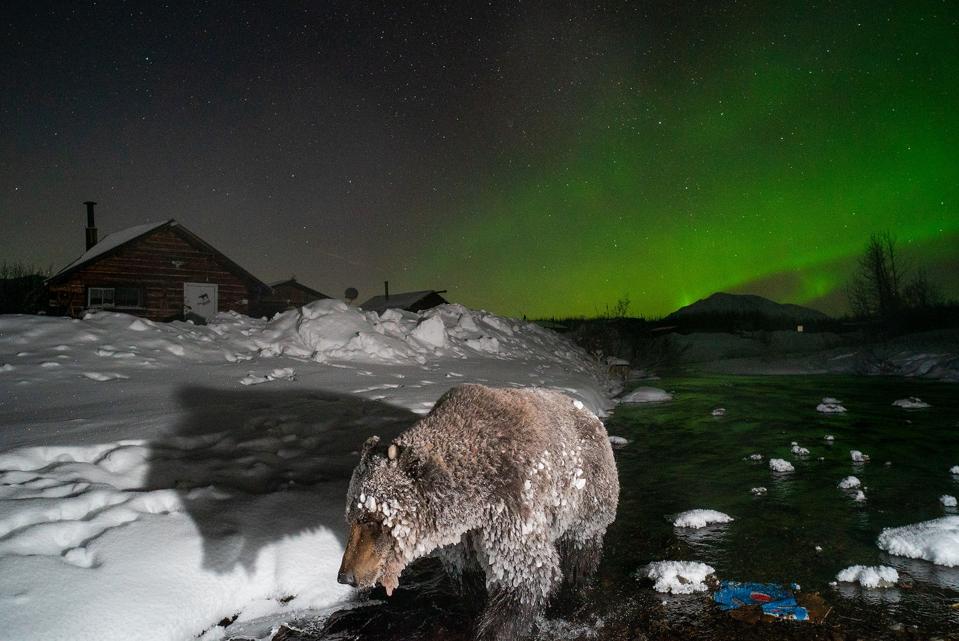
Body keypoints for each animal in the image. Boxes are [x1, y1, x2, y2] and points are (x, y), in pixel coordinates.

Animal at [337, 383, 619, 640]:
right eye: (351, 517)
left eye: (372, 519)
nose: (345, 577)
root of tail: (590, 415)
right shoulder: (461, 538)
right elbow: (467, 575)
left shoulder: (509, 507)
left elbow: (525, 573)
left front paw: (495, 628)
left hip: (586, 497)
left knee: (580, 549)